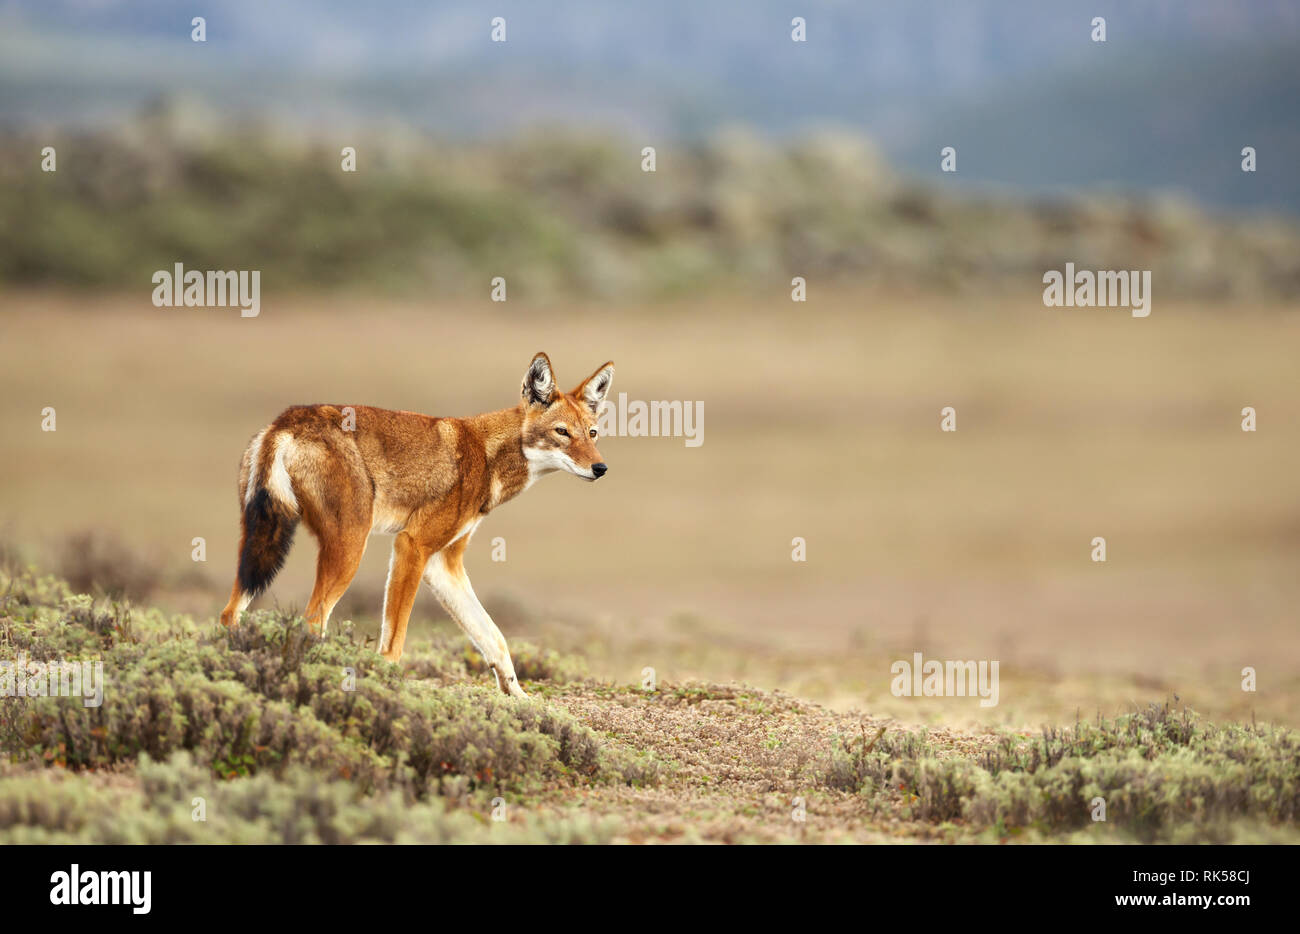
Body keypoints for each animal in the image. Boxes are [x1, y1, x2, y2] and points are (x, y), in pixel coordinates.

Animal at [218, 352, 613, 698]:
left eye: (592, 433)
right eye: (562, 432)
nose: (600, 468)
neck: (487, 457)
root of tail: (287, 419)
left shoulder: (444, 564)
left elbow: (495, 638)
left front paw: (518, 695)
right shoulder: (412, 545)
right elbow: (393, 645)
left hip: (260, 547)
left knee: (229, 614)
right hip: (349, 549)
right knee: (311, 622)